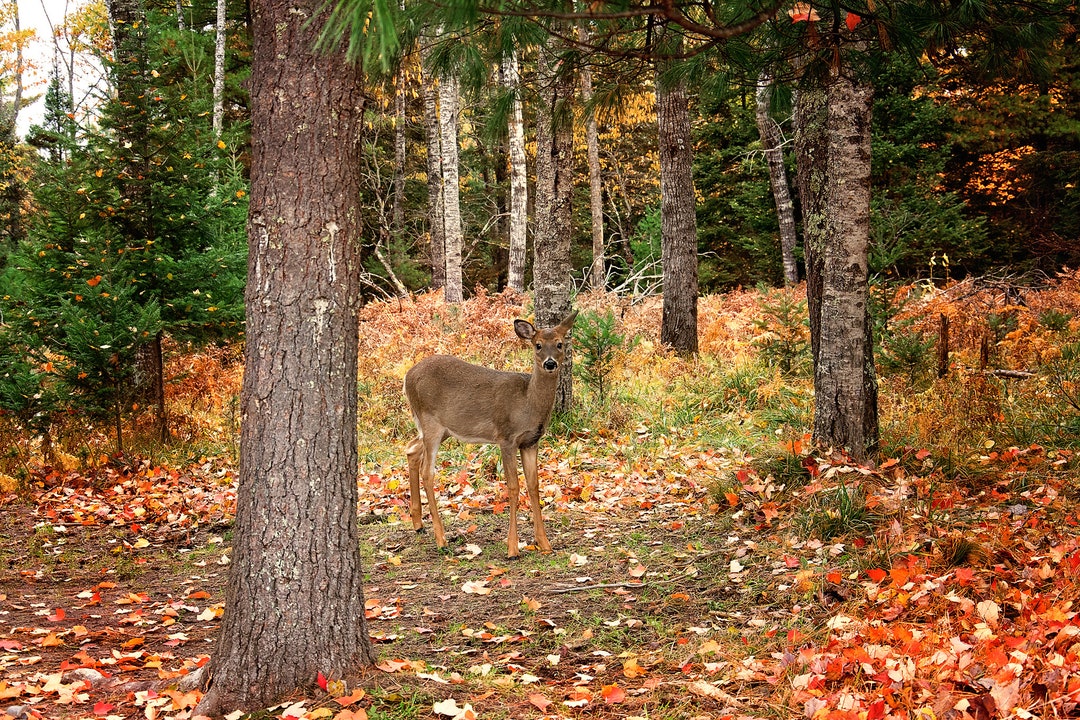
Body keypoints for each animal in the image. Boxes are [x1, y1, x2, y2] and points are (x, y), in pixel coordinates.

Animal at [403, 311, 578, 558]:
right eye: (538, 345)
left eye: (560, 344)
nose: (550, 363)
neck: (528, 403)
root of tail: (407, 376)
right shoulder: (506, 437)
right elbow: (513, 487)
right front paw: (513, 548)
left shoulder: (531, 441)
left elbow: (534, 486)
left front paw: (544, 543)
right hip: (430, 422)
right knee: (427, 472)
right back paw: (441, 540)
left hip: (444, 428)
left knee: (411, 449)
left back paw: (418, 524)